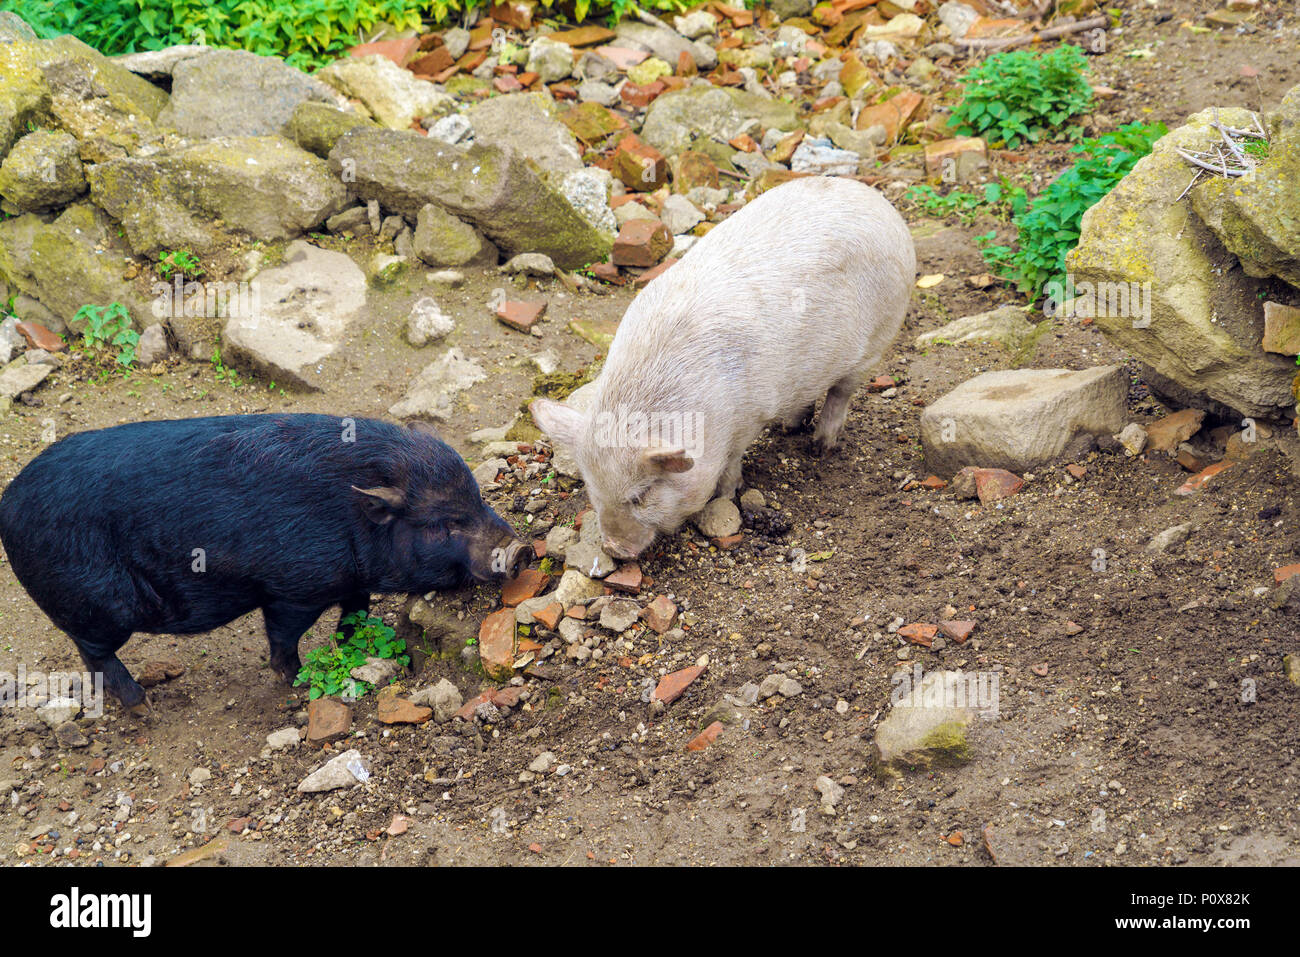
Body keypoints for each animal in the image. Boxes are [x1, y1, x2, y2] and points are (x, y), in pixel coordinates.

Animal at [0, 414, 528, 711]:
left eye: (479, 499)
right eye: (443, 523)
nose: (521, 549)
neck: (351, 514)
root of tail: (8, 503)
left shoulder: (348, 579)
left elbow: (356, 611)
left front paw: (355, 651)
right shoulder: (293, 588)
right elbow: (283, 637)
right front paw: (295, 680)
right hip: (93, 606)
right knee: (94, 654)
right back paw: (143, 708)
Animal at [531, 176, 915, 558]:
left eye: (641, 495)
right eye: (592, 491)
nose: (613, 549)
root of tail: (879, 202)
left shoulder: (749, 418)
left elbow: (731, 464)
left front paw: (726, 494)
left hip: (879, 338)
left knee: (841, 394)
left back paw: (819, 447)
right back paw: (790, 428)